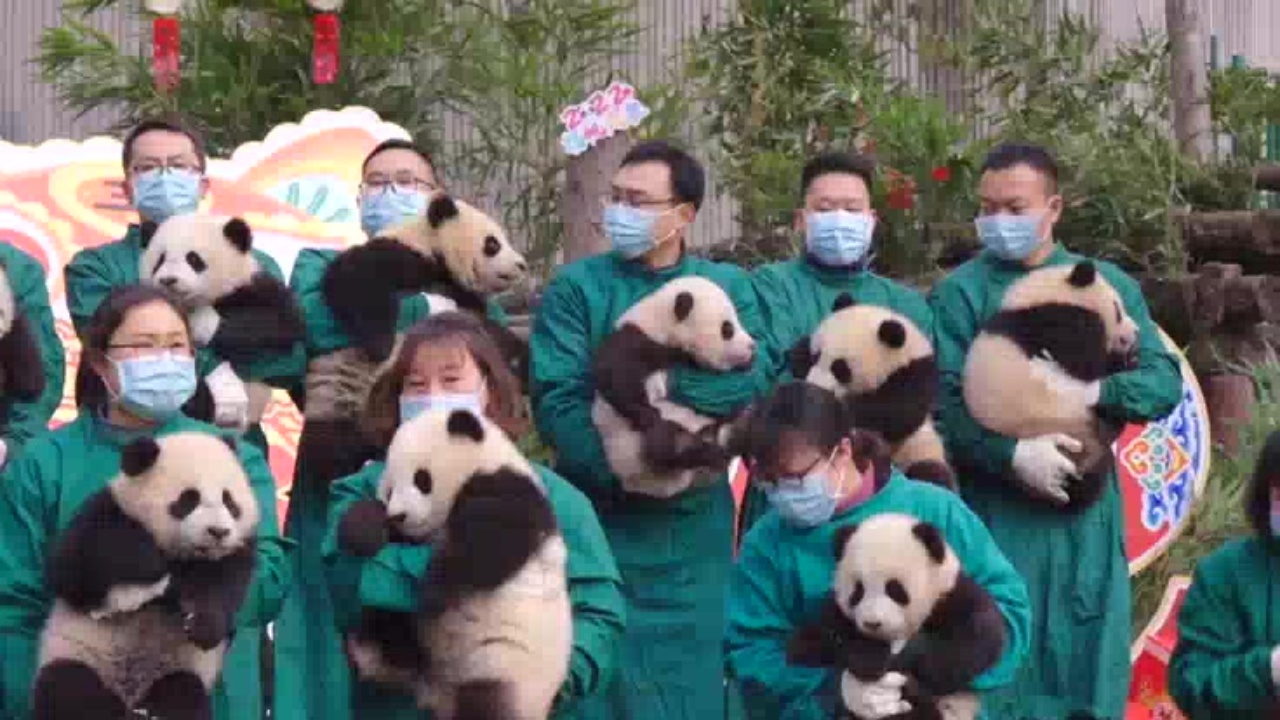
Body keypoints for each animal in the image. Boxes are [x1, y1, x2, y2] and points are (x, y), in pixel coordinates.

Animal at [138, 214, 306, 431]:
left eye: (193, 259)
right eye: (160, 260)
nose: (168, 280)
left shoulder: (251, 287)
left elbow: (280, 322)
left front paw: (203, 322)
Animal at [590, 276, 758, 498]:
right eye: (727, 328)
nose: (752, 346)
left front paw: (747, 363)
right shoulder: (636, 339)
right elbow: (612, 373)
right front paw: (648, 413)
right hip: (632, 448)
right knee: (665, 445)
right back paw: (704, 452)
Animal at [786, 513, 1006, 720]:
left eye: (894, 589)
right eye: (858, 591)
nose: (872, 623)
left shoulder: (950, 595)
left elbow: (976, 638)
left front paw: (912, 663)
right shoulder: (837, 612)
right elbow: (819, 640)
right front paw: (869, 659)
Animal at [788, 294, 954, 489]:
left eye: (841, 369)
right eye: (816, 356)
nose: (815, 386)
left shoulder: (916, 374)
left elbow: (898, 412)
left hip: (919, 449)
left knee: (931, 471)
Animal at [962, 260, 1139, 512]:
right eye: (1118, 309)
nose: (1136, 332)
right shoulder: (1056, 322)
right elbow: (1086, 363)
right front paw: (1121, 360)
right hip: (1061, 435)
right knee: (1084, 483)